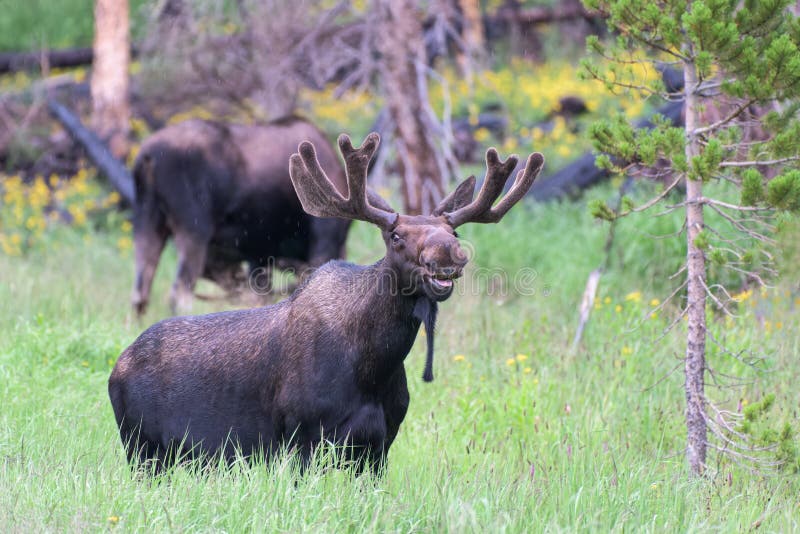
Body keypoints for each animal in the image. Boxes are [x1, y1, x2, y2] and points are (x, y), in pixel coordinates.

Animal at [108, 132, 544, 474]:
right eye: (396, 236)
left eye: (453, 231)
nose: (450, 253)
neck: (373, 368)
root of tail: (117, 367)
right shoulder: (299, 439)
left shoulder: (379, 446)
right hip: (142, 449)